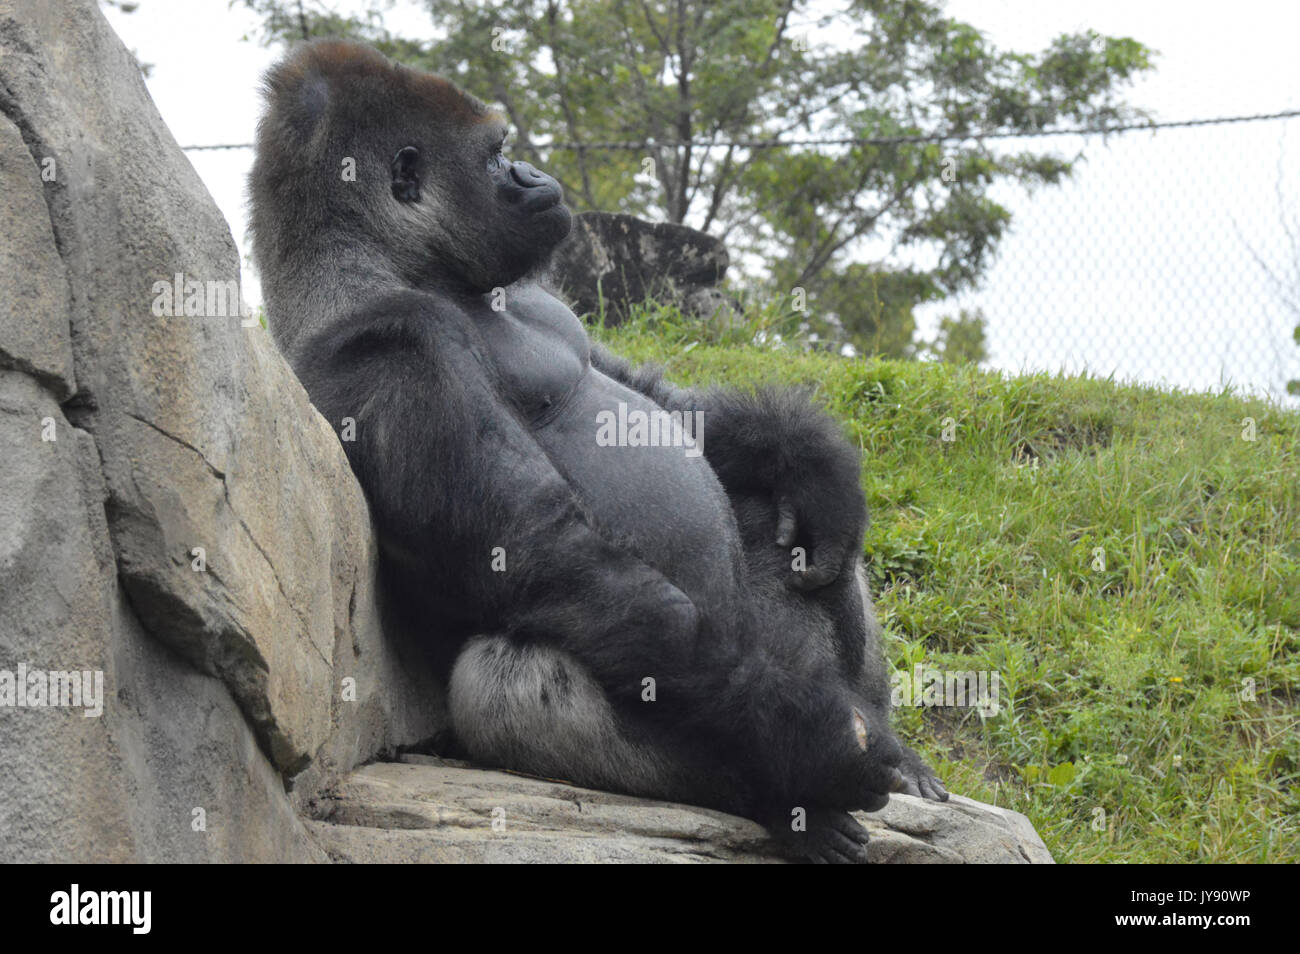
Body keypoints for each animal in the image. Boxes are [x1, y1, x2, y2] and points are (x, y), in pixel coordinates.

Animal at [249, 39, 946, 863]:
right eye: (495, 155)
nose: (530, 175)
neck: (401, 265)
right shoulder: (388, 349)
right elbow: (540, 554)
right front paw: (813, 743)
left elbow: (657, 400)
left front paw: (807, 462)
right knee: (512, 677)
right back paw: (777, 792)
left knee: (785, 531)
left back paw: (888, 737)